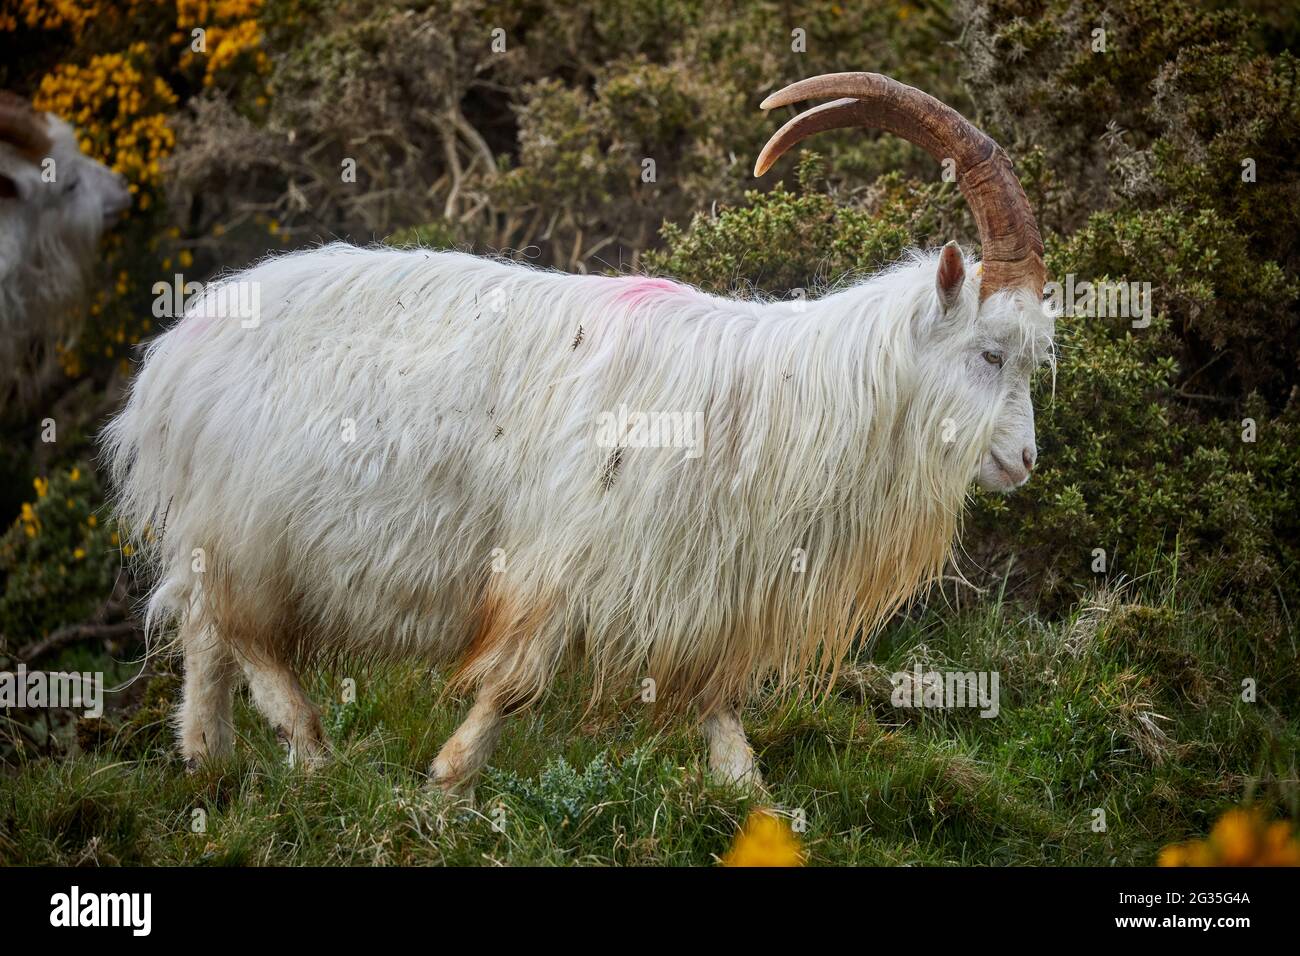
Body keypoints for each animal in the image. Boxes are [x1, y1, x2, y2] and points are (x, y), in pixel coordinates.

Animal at [104, 72, 1053, 793]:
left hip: (227, 535)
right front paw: (447, 789)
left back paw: (209, 765)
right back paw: (309, 753)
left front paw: (756, 805)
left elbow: (718, 709)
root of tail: (175, 356)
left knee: (205, 639)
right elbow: (515, 686)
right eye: (991, 352)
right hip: (248, 531)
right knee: (242, 640)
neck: (778, 396)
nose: (1023, 461)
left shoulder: (688, 584)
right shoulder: (559, 561)